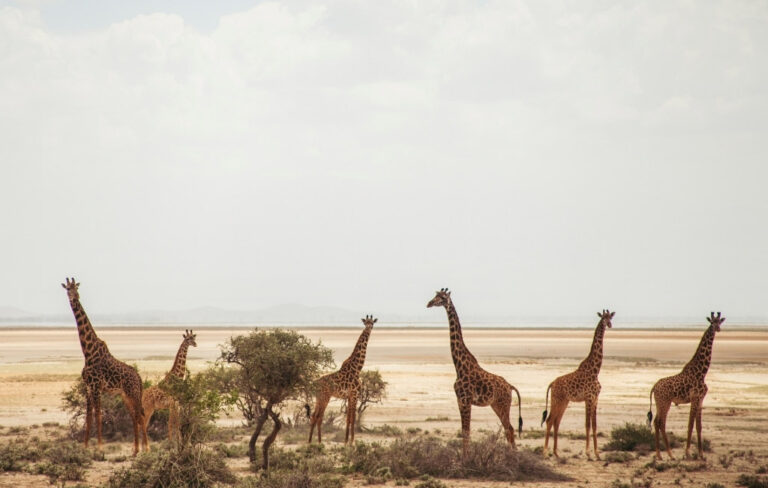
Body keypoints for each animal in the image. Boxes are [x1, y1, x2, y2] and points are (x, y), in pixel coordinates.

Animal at [61, 277, 147, 455]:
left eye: (76, 289)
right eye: (67, 289)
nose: (74, 297)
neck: (88, 352)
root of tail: (139, 378)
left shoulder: (96, 387)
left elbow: (98, 416)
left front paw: (100, 447)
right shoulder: (88, 387)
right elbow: (88, 417)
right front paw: (85, 446)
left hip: (133, 394)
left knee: (140, 416)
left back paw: (146, 448)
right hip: (126, 396)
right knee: (134, 416)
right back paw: (136, 449)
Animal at [308, 315, 376, 444]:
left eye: (372, 323)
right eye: (366, 323)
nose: (369, 328)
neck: (357, 368)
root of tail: (314, 384)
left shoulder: (349, 396)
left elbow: (348, 418)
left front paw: (346, 440)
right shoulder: (354, 394)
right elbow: (353, 418)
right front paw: (352, 441)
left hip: (318, 398)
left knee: (314, 416)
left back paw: (310, 441)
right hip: (325, 397)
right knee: (319, 417)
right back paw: (318, 442)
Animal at [427, 288, 522, 457]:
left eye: (442, 297)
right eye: (435, 295)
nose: (429, 303)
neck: (459, 367)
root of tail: (510, 386)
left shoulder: (466, 400)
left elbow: (466, 432)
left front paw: (466, 458)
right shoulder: (460, 400)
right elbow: (464, 431)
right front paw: (464, 457)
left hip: (503, 404)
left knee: (510, 429)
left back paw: (514, 457)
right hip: (495, 405)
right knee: (508, 429)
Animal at [541, 309, 614, 460]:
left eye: (611, 317)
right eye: (603, 318)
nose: (609, 324)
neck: (595, 370)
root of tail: (552, 383)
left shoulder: (596, 399)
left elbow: (594, 425)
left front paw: (597, 453)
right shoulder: (588, 398)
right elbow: (587, 425)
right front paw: (588, 453)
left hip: (564, 401)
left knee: (556, 421)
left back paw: (556, 452)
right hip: (556, 400)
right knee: (550, 420)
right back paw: (545, 452)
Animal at [647, 312, 723, 460]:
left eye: (719, 322)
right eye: (712, 322)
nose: (717, 329)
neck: (702, 372)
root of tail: (654, 387)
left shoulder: (700, 400)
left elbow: (699, 426)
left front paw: (701, 454)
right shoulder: (694, 399)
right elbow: (690, 425)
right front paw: (687, 453)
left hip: (660, 403)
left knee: (656, 422)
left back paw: (659, 454)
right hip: (665, 402)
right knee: (661, 422)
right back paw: (670, 454)